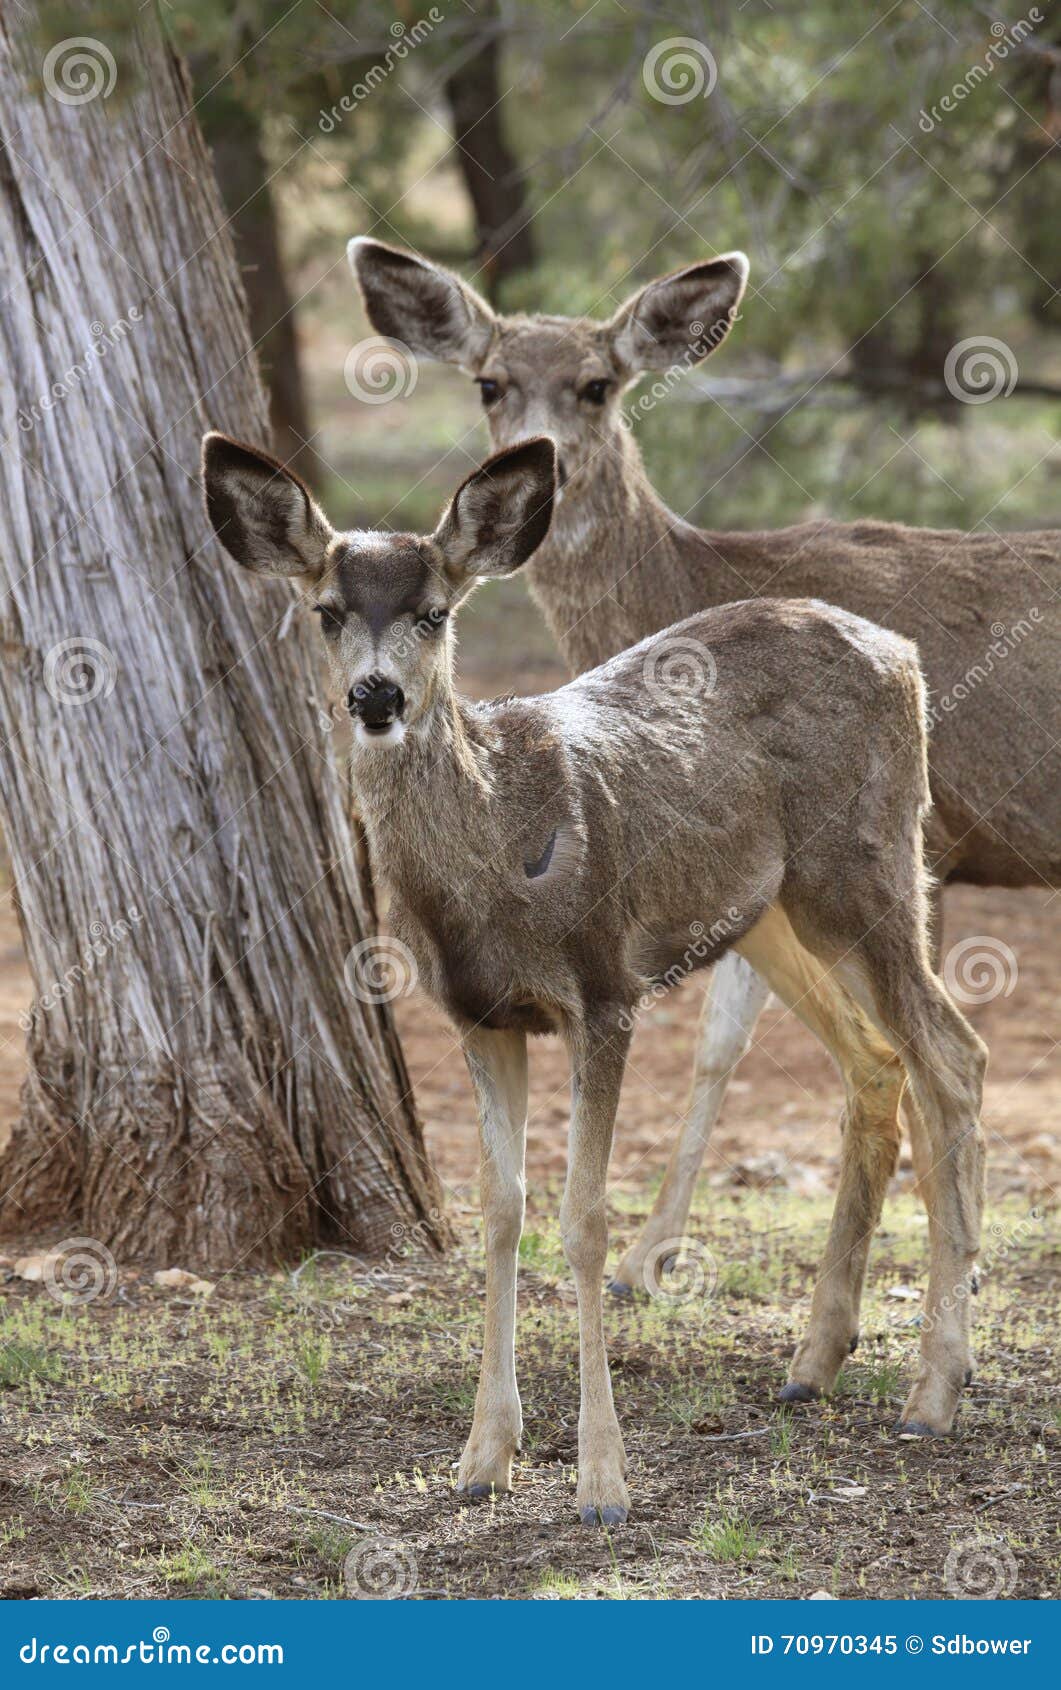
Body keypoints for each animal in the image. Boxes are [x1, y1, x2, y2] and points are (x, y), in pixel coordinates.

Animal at [202, 428, 987, 1527]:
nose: (375, 696)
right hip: (770, 910)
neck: (493, 854)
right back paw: (814, 1361)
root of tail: (899, 652)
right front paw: (483, 1456)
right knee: (877, 1059)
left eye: (434, 611)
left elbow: (580, 1220)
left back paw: (935, 1389)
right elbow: (500, 1211)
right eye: (323, 610)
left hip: (865, 867)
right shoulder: (478, 1016)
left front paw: (603, 1481)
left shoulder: (603, 987)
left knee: (951, 1053)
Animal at [349, 237, 1059, 1302]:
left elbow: (732, 1040)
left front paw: (648, 1253)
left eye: (597, 385)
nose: (545, 465)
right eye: (489, 383)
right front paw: (655, 1253)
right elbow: (740, 1045)